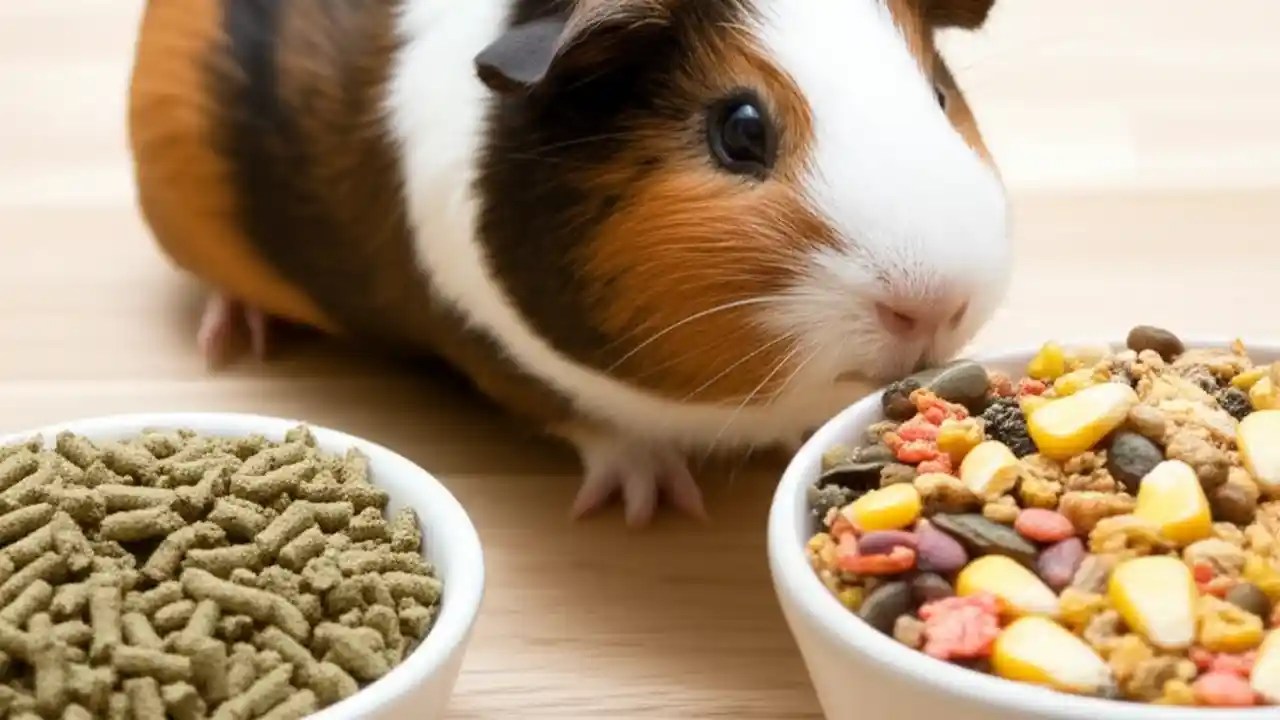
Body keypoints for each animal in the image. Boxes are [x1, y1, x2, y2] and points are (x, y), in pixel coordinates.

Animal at [127, 0, 1011, 526]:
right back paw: (234, 336)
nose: (935, 308)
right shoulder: (499, 354)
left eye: (939, 96)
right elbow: (599, 426)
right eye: (741, 130)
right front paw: (652, 504)